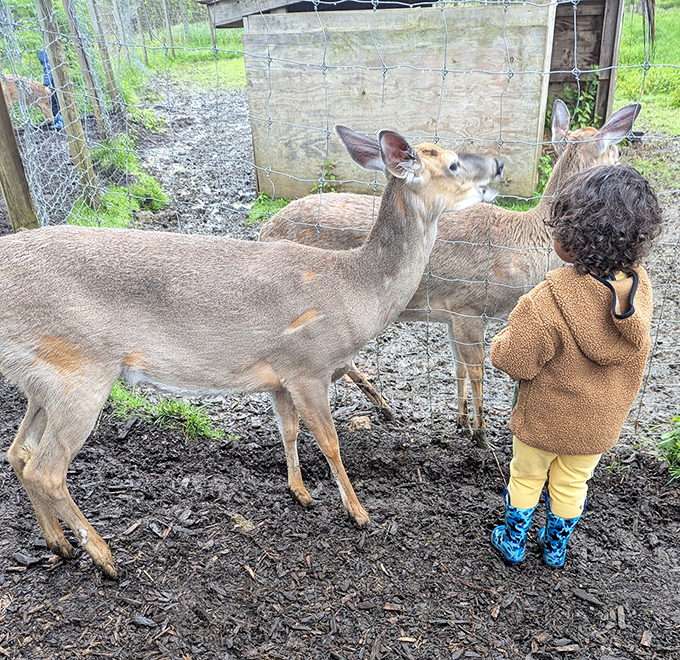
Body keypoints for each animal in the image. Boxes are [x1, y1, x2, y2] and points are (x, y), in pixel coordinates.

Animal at [1, 125, 502, 579]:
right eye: (453, 163)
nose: (497, 166)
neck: (357, 290)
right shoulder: (308, 364)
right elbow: (330, 442)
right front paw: (358, 512)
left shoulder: (280, 375)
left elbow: (289, 431)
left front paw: (301, 492)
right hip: (80, 369)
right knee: (47, 468)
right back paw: (104, 558)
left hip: (43, 378)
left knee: (18, 452)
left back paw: (59, 544)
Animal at [259, 101, 641, 448]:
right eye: (617, 149)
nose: (626, 164)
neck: (523, 244)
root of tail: (264, 229)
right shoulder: (468, 305)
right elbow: (477, 368)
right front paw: (481, 435)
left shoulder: (451, 315)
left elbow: (457, 365)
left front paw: (461, 422)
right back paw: (381, 407)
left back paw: (384, 406)